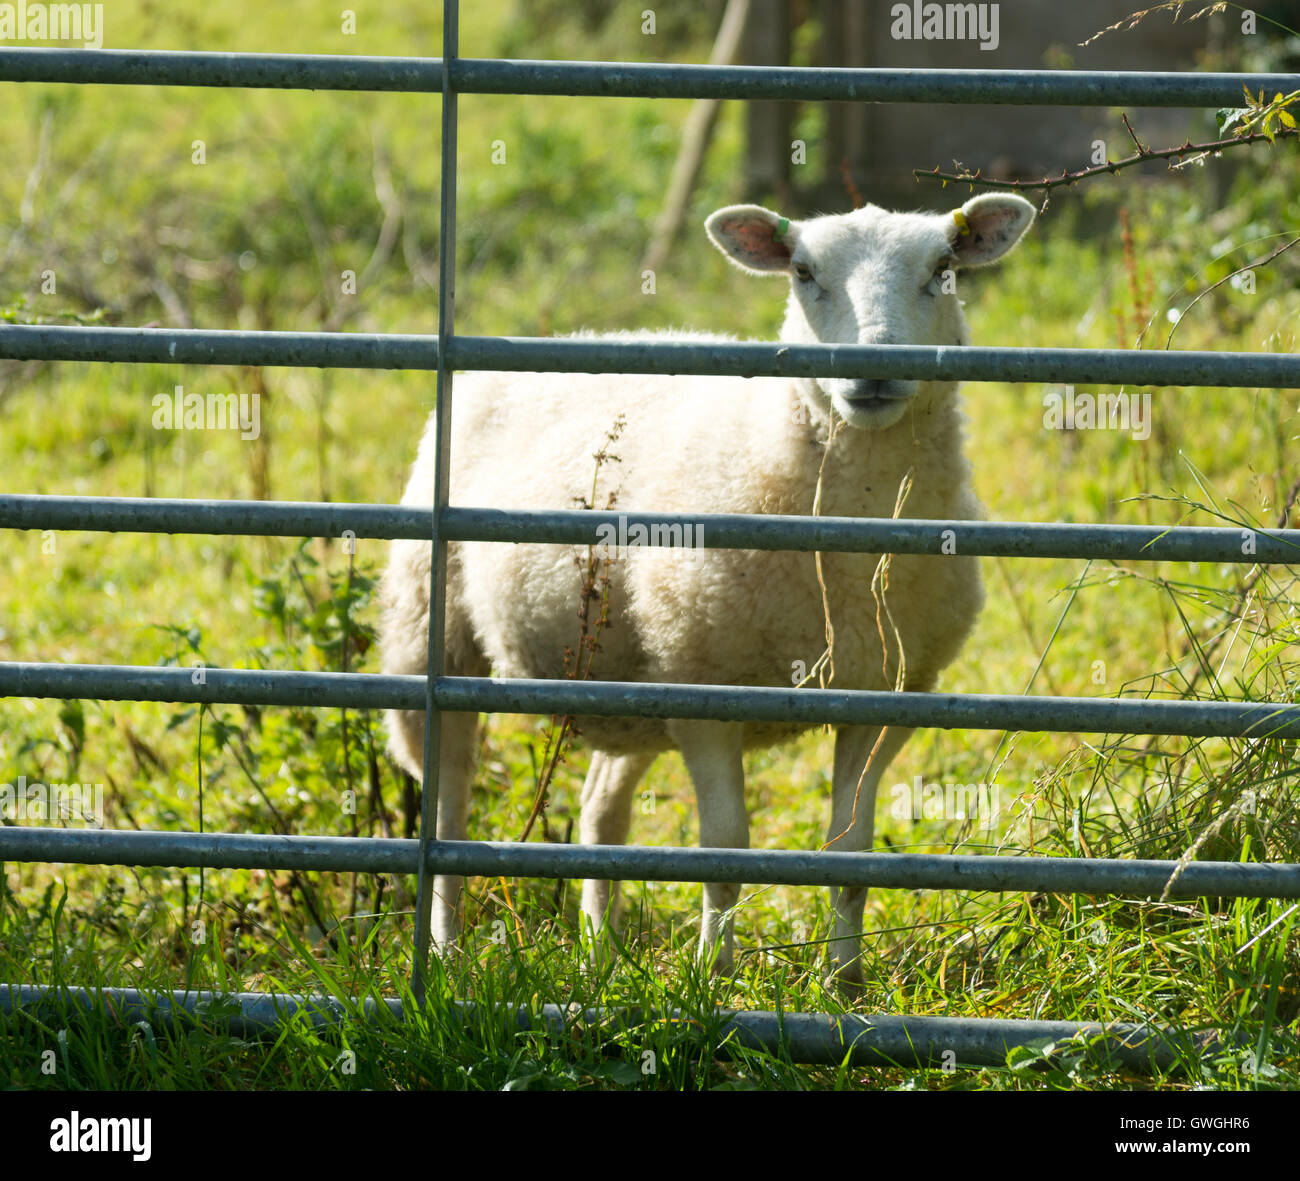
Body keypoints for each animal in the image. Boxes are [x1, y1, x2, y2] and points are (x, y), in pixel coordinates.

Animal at [380, 193, 1036, 983]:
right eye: (803, 271)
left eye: (943, 267)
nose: (873, 367)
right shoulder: (704, 688)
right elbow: (725, 850)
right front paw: (712, 977)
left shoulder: (885, 696)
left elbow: (850, 855)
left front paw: (843, 983)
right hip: (432, 635)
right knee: (448, 810)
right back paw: (445, 952)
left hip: (630, 678)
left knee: (600, 811)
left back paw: (597, 956)